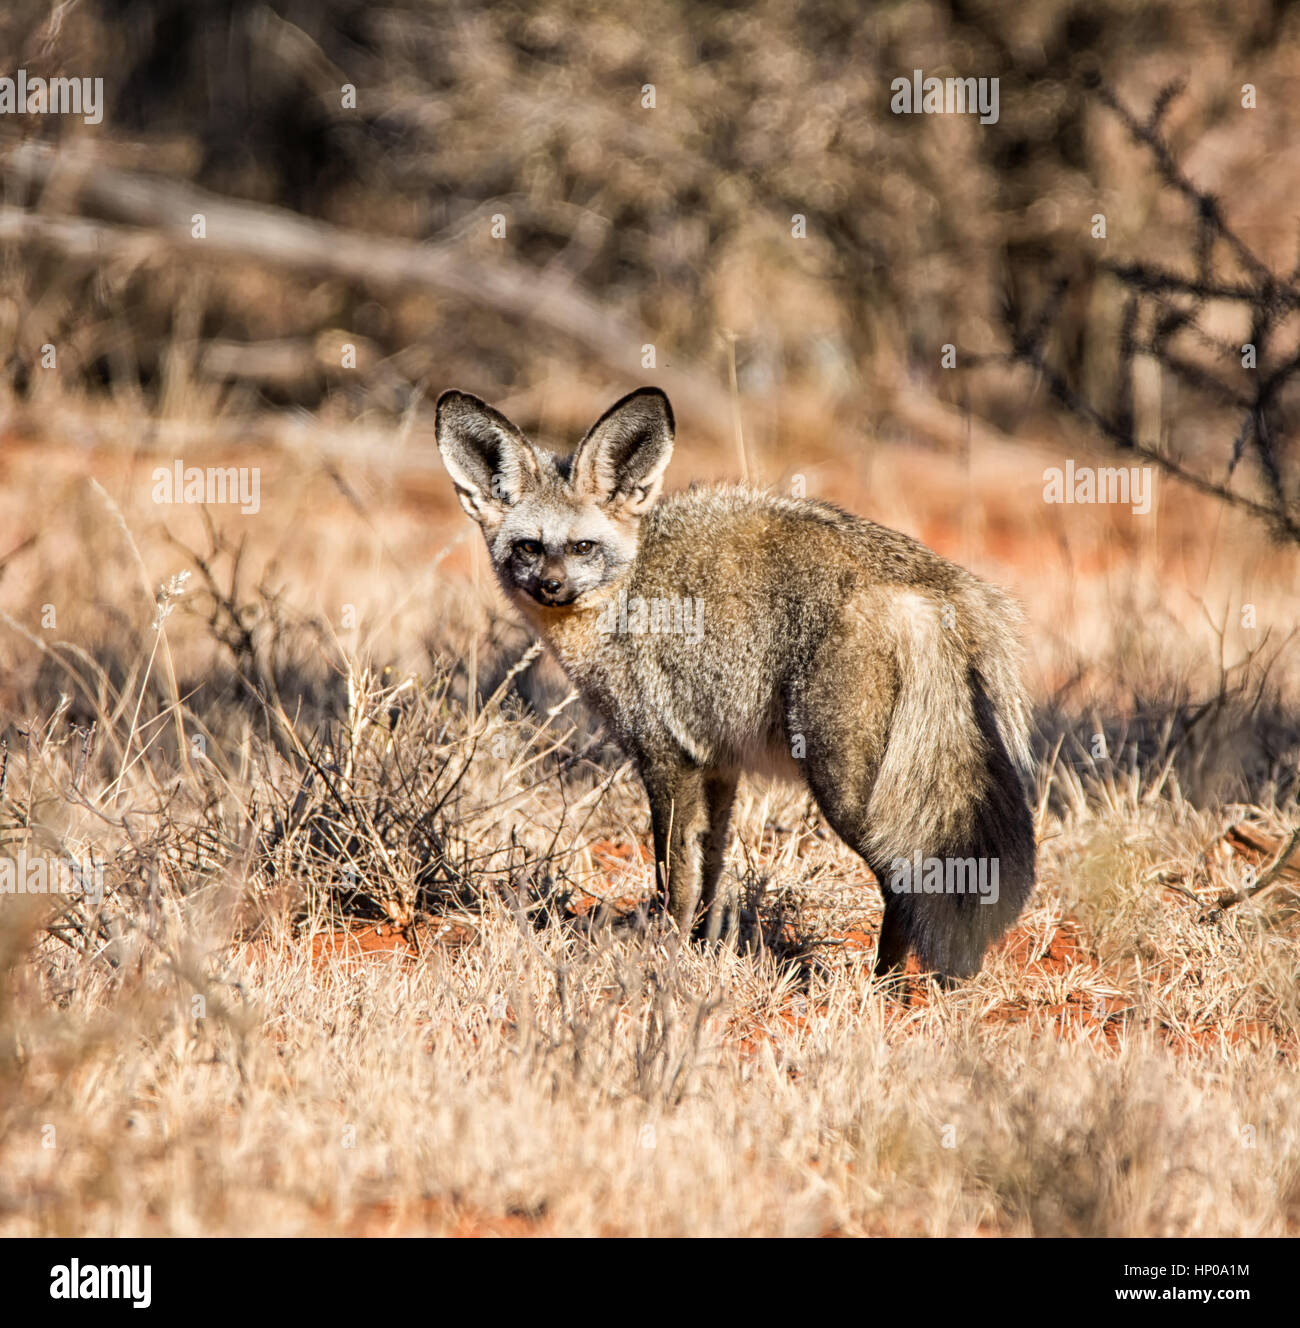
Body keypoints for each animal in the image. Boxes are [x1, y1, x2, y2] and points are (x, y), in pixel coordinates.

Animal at [435, 385, 1036, 980]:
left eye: (582, 547)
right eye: (529, 547)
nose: (552, 587)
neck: (625, 592)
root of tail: (932, 584)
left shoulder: (665, 758)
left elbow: (674, 877)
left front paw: (666, 955)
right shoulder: (718, 763)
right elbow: (711, 870)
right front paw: (703, 949)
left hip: (845, 789)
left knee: (901, 877)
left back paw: (884, 986)